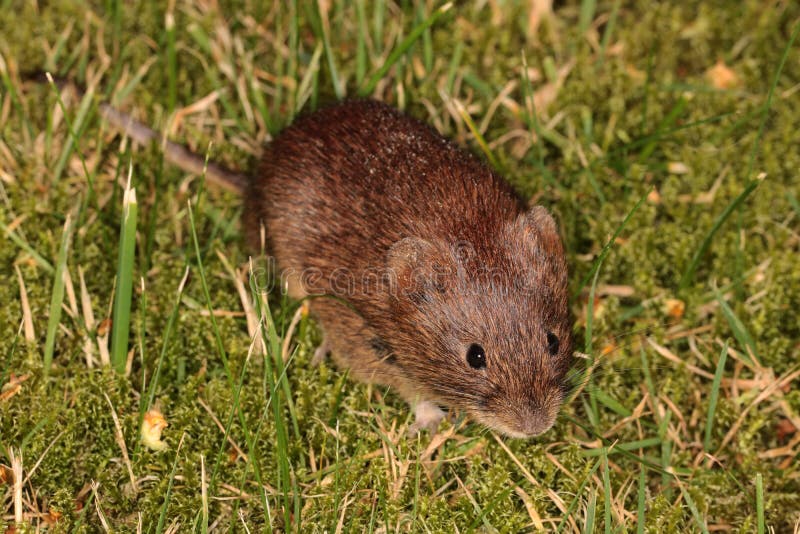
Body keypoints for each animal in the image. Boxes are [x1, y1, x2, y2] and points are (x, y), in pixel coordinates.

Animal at [101, 97, 574, 438]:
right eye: (475, 357)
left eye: (553, 342)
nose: (536, 429)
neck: (465, 229)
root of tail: (252, 181)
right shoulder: (361, 335)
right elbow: (405, 387)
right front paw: (430, 422)